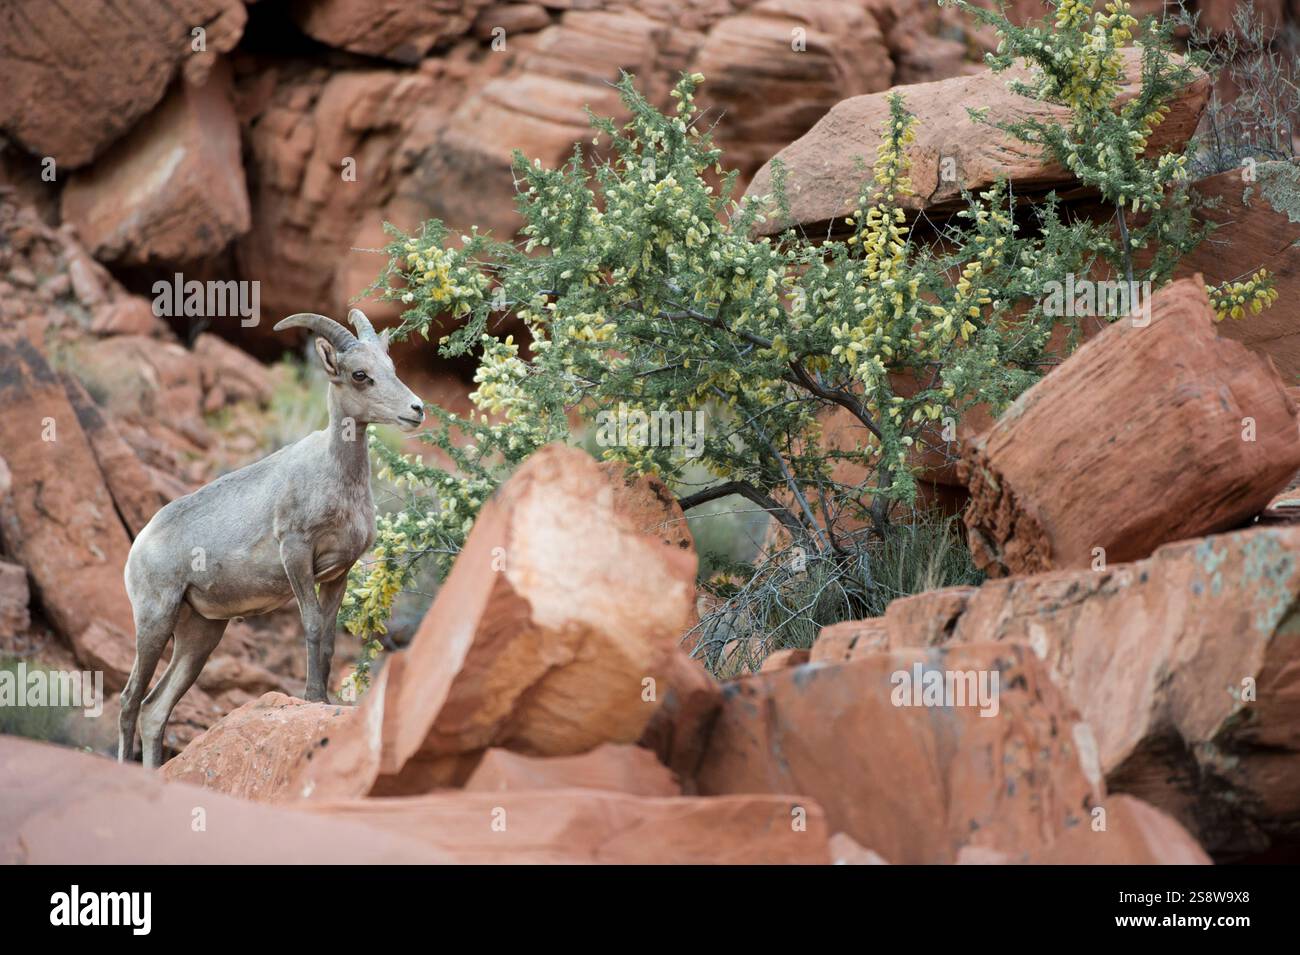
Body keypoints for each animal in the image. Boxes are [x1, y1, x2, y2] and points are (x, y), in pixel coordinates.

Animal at [117, 309, 425, 768]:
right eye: (360, 375)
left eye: (391, 367)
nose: (416, 409)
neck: (335, 479)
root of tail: (140, 545)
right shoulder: (296, 553)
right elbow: (312, 626)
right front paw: (313, 697)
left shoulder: (339, 573)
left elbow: (329, 639)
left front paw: (324, 697)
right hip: (155, 620)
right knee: (129, 701)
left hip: (200, 635)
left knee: (155, 709)